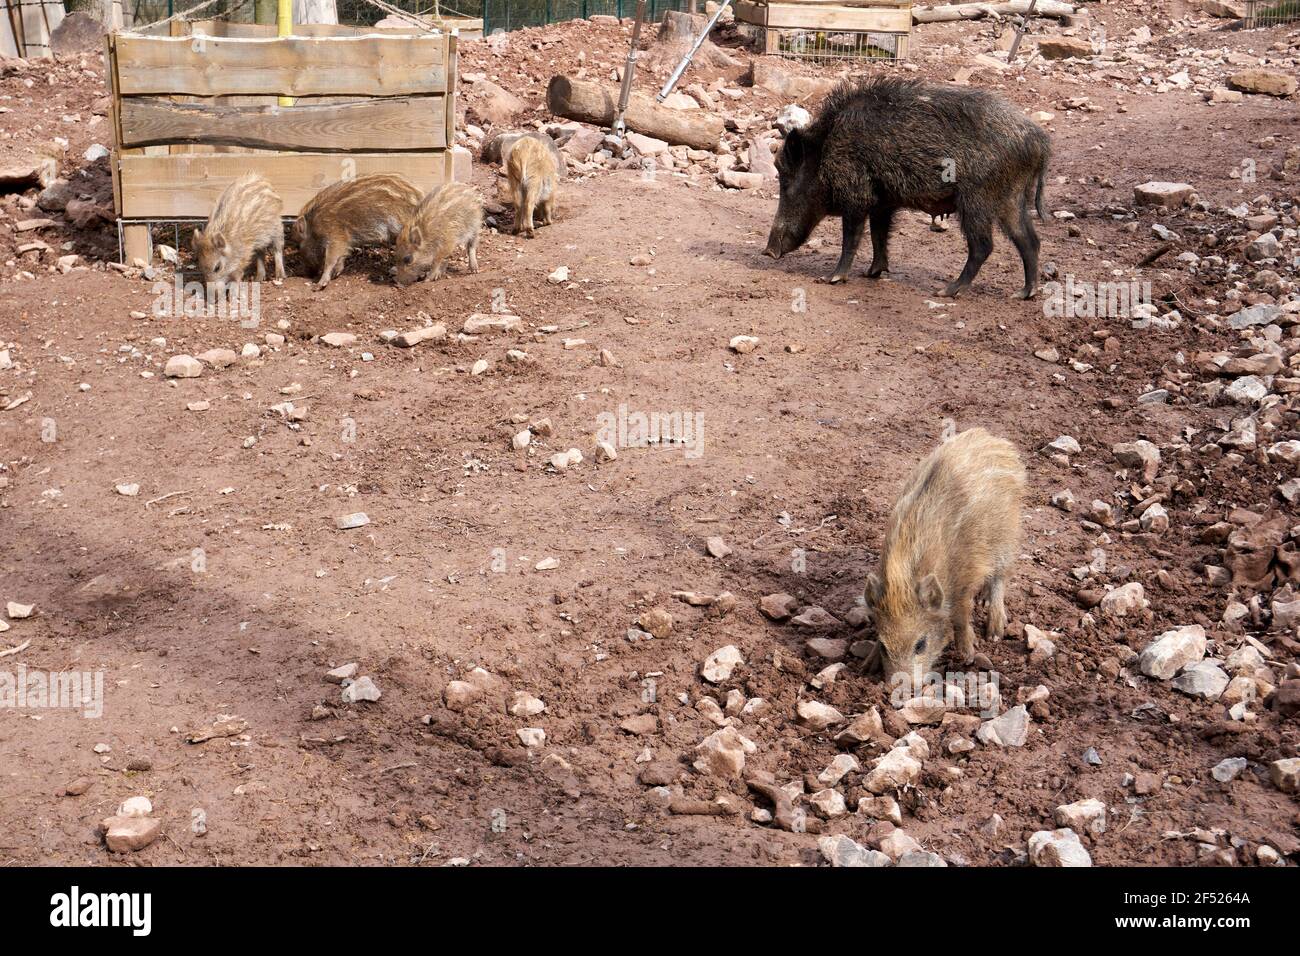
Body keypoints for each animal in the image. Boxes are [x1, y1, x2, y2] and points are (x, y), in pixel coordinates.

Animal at [291, 173, 424, 290]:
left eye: (298, 245)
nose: (307, 274)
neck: (313, 226)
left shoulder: (335, 235)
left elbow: (330, 259)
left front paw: (319, 285)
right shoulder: (345, 241)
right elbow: (342, 256)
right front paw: (335, 274)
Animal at [764, 77, 1050, 299]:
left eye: (786, 179)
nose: (768, 251)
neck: (826, 151)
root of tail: (1038, 138)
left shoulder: (857, 195)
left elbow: (851, 237)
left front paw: (831, 279)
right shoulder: (882, 203)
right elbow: (878, 235)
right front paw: (871, 273)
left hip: (976, 199)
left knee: (983, 246)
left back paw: (947, 291)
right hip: (1011, 197)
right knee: (1029, 240)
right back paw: (1024, 293)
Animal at [864, 427, 1026, 691]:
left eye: (920, 644)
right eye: (884, 647)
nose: (898, 688)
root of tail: (993, 438)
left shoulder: (964, 581)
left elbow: (961, 617)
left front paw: (968, 655)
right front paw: (866, 665)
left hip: (1006, 535)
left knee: (1001, 576)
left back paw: (994, 631)